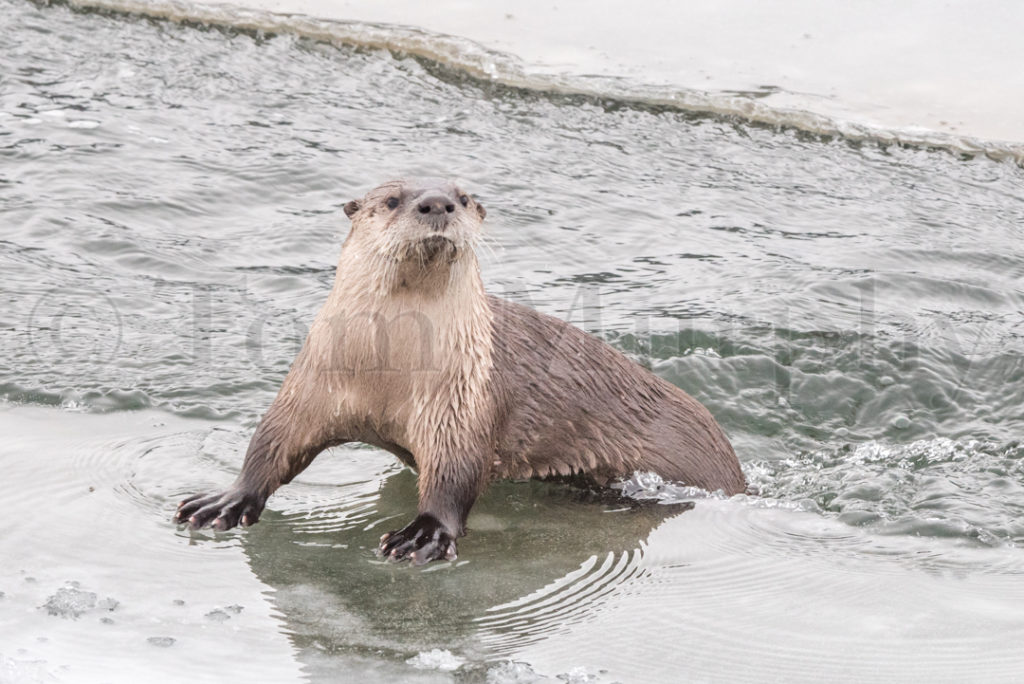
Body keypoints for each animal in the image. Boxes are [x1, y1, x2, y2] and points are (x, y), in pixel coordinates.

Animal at [175, 178, 746, 564]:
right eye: (392, 200)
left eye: (465, 197)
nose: (437, 204)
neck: (387, 367)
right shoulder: (312, 382)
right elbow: (274, 440)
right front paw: (226, 500)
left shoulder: (460, 399)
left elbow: (455, 473)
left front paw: (423, 534)